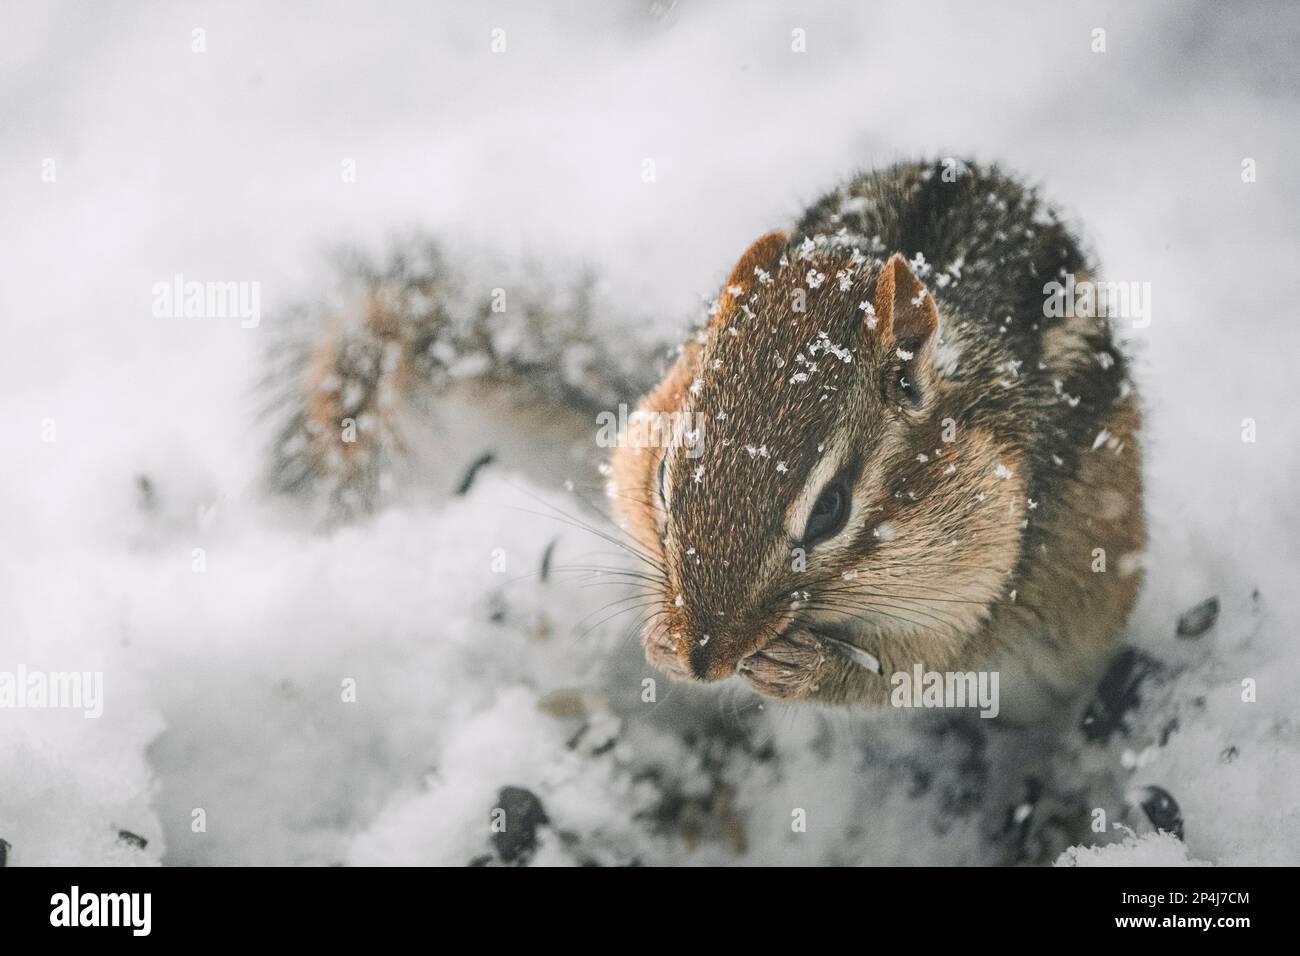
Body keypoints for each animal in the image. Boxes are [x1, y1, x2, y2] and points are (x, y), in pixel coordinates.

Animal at [608, 159, 1145, 720]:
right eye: (663, 477)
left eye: (830, 510)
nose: (702, 659)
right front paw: (660, 641)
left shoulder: (980, 588)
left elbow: (912, 671)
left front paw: (804, 668)